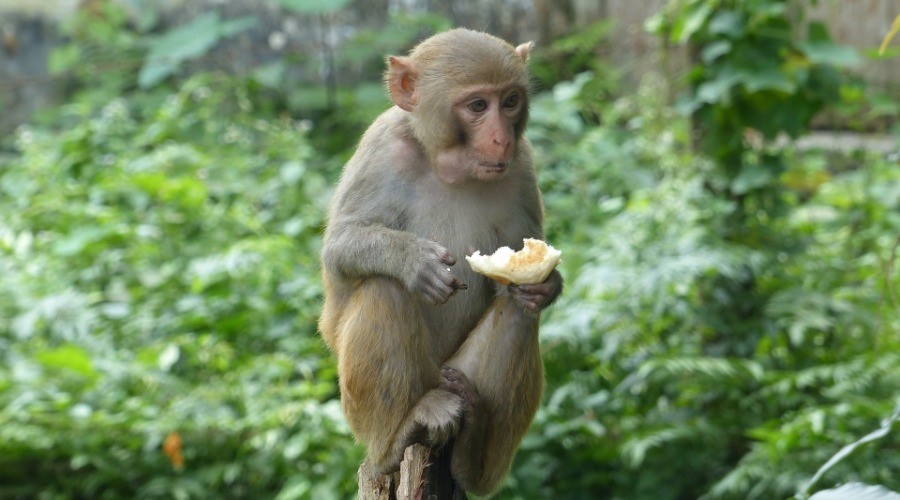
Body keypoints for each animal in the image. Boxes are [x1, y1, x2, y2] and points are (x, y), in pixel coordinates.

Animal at [319, 28, 563, 496]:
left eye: (510, 101)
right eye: (477, 106)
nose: (502, 138)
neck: (449, 167)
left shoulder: (521, 167)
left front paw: (546, 284)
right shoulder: (381, 150)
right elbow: (339, 247)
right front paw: (413, 260)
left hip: (456, 374)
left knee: (516, 313)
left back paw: (473, 457)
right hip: (390, 398)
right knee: (384, 287)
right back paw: (401, 433)